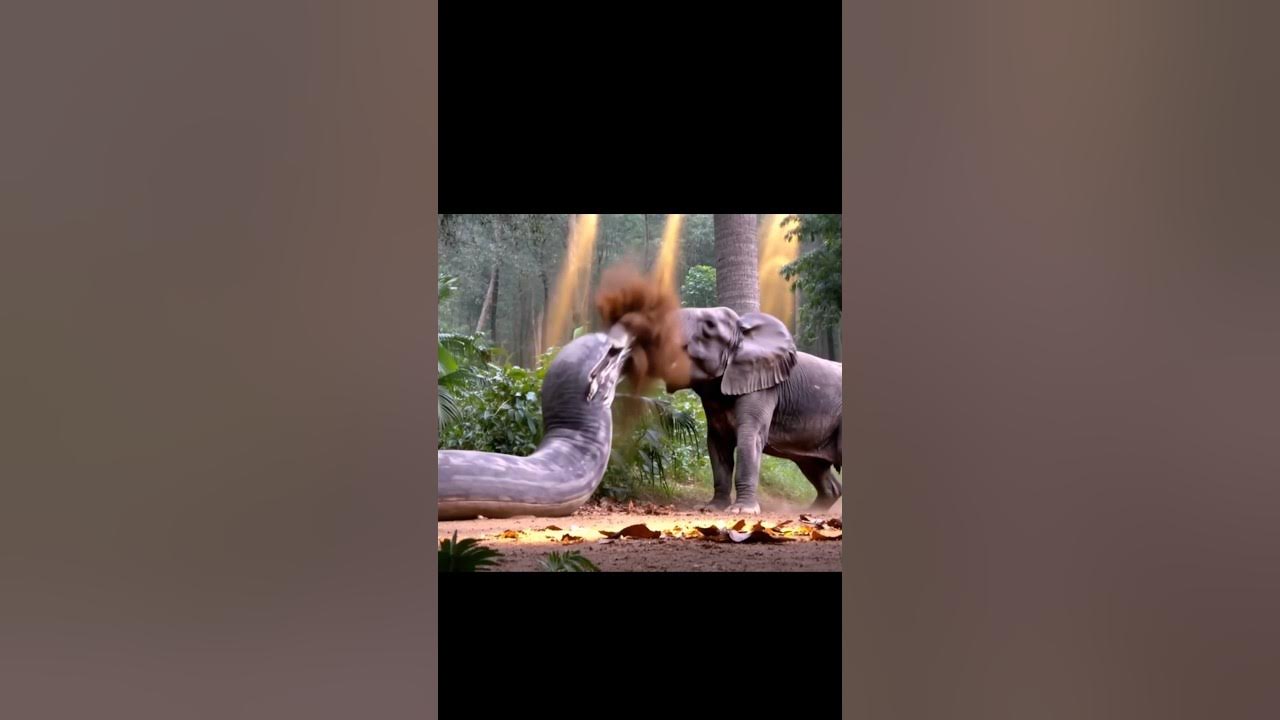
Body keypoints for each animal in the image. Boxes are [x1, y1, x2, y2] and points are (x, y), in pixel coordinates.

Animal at [664, 307, 842, 514]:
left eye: (709, 326)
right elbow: (717, 442)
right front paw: (711, 508)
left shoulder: (763, 387)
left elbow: (750, 437)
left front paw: (742, 511)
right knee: (815, 468)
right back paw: (810, 512)